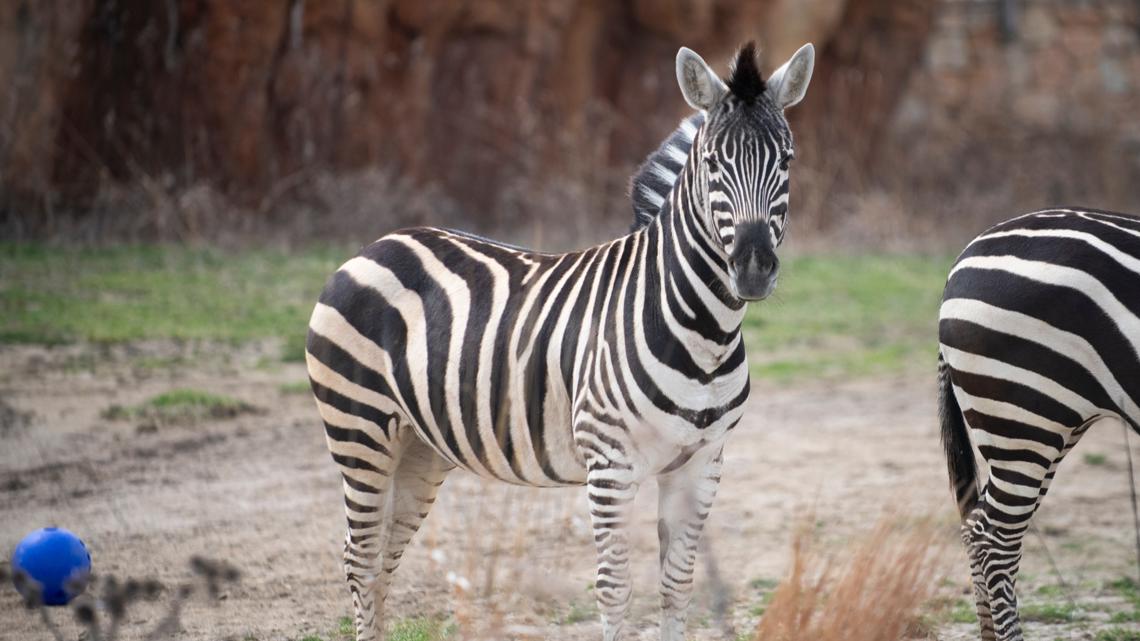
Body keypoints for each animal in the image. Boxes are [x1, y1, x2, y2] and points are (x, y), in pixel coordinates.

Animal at [306, 41, 815, 641]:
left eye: (786, 160)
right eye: (713, 162)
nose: (754, 268)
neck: (705, 334)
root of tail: (379, 243)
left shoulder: (702, 464)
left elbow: (676, 586)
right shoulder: (610, 465)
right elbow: (615, 591)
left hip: (419, 446)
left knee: (384, 558)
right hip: (359, 431)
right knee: (360, 559)